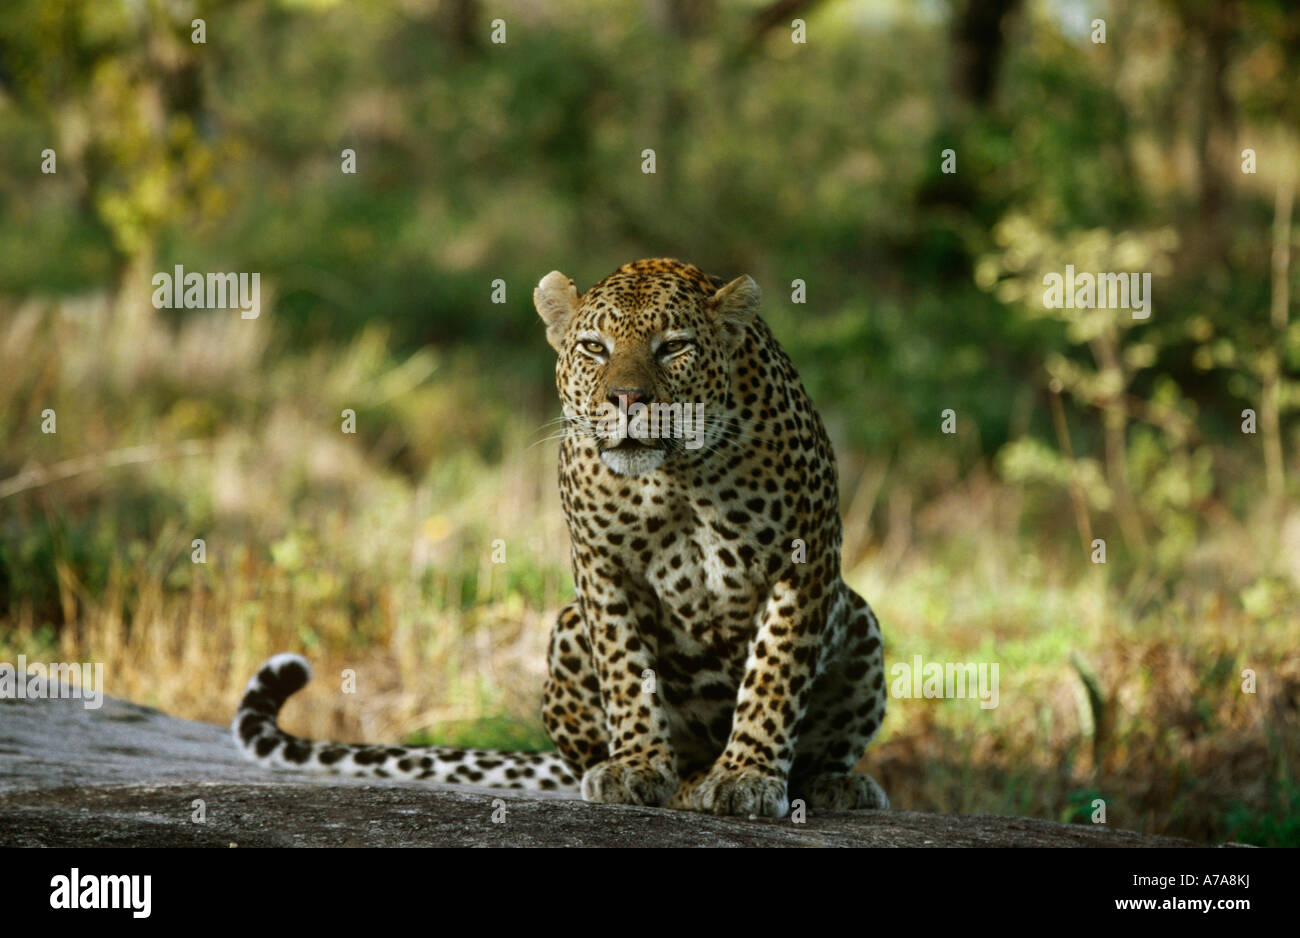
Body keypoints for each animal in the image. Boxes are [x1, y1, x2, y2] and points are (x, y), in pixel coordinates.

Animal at [233, 258, 888, 818]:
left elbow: (774, 674)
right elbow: (626, 670)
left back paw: (831, 784)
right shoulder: (601, 566)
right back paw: (679, 777)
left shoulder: (804, 558)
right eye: (595, 348)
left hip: (858, 618)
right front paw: (635, 766)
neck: (678, 476)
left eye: (674, 346)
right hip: (568, 629)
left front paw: (747, 775)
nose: (627, 399)